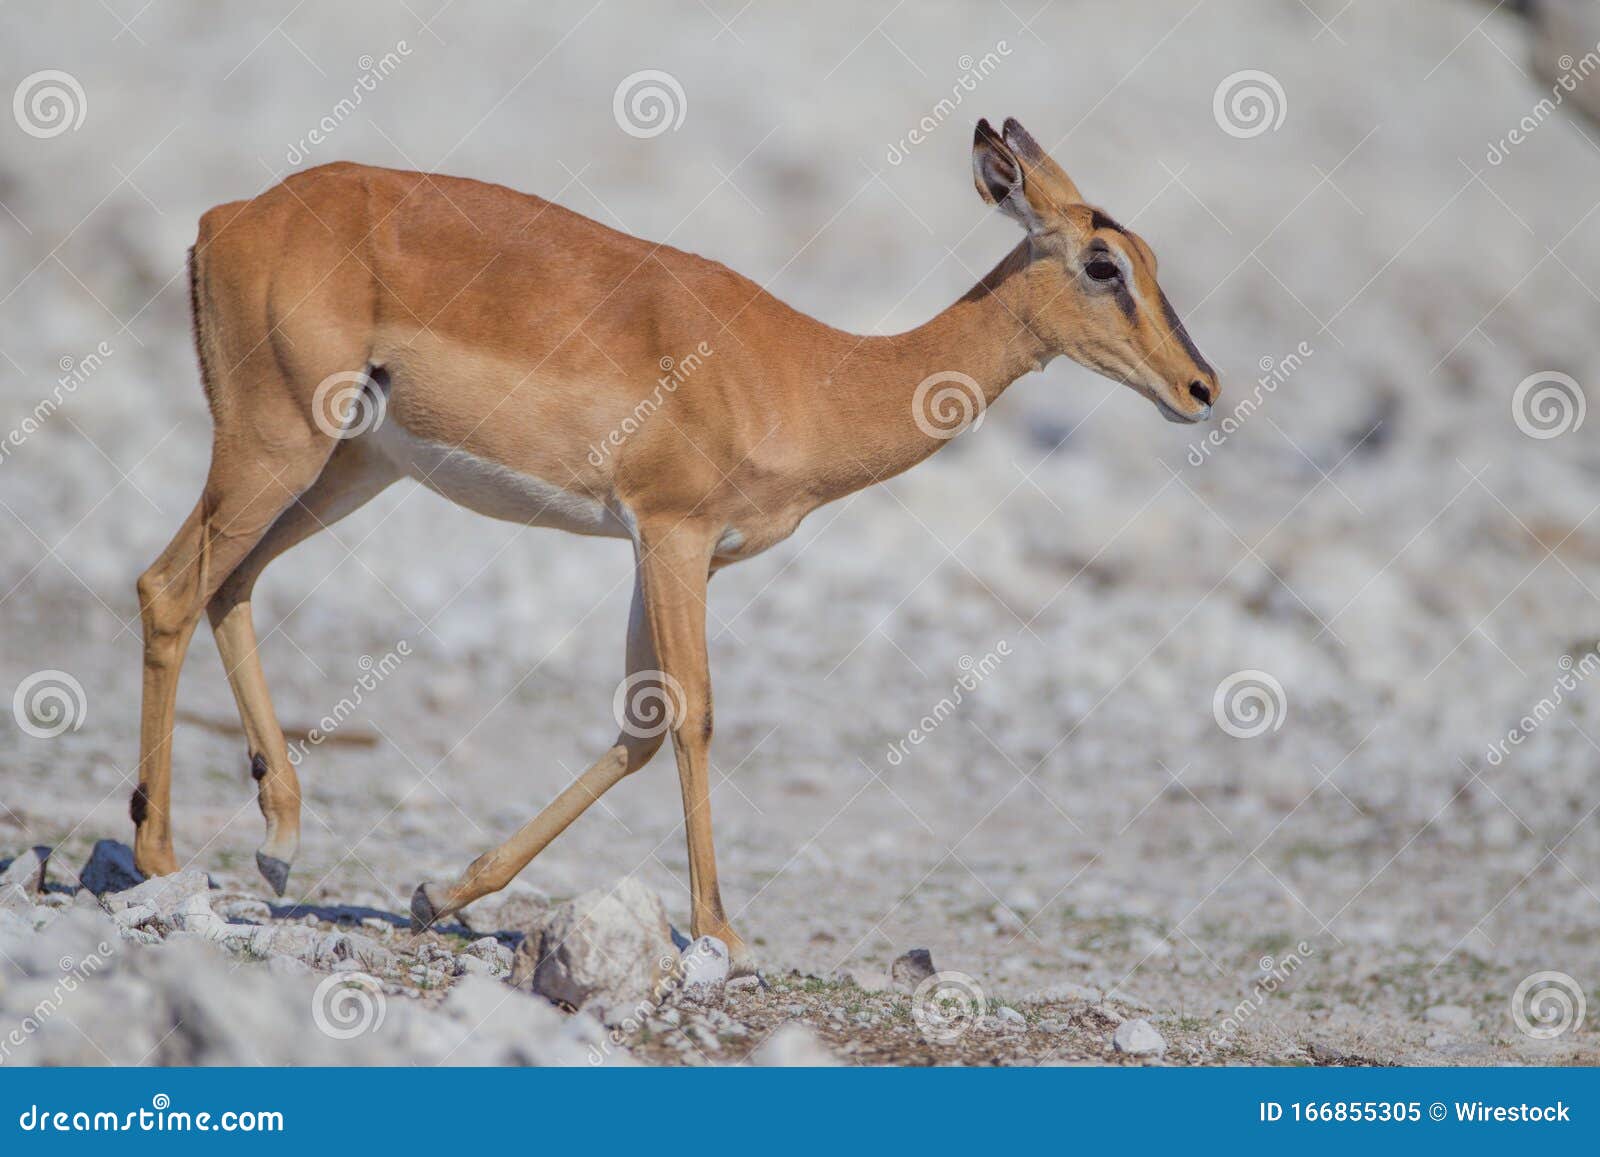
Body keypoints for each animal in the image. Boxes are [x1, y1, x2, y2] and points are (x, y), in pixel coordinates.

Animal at [133, 117, 1217, 975]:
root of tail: (230, 217)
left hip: (348, 466)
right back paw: (157, 860)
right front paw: (724, 935)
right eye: (1103, 264)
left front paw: (439, 893)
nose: (1200, 388)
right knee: (168, 586)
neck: (806, 372)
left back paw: (278, 840)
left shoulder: (658, 550)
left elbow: (642, 723)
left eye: (1153, 260)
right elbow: (692, 716)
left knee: (229, 585)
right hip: (278, 445)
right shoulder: (673, 534)